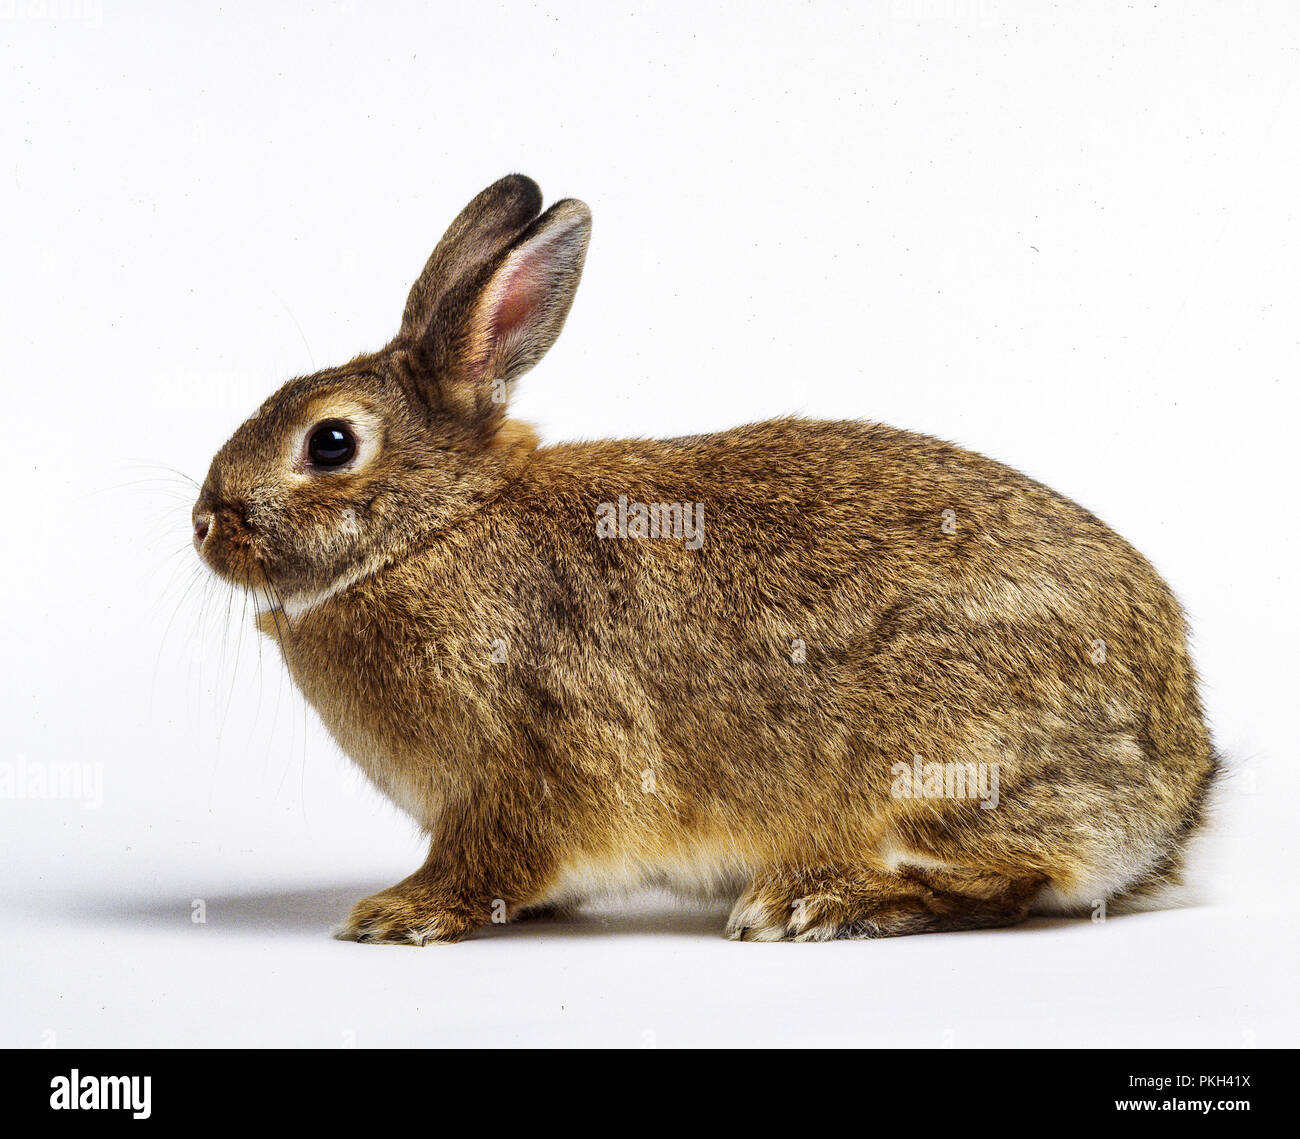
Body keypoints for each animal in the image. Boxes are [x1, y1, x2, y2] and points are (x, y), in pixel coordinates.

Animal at [192, 174, 1219, 943]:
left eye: (330, 443)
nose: (206, 523)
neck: (436, 527)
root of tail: (1177, 787)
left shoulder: (522, 767)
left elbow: (488, 861)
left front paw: (398, 913)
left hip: (943, 762)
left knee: (1008, 878)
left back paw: (813, 900)